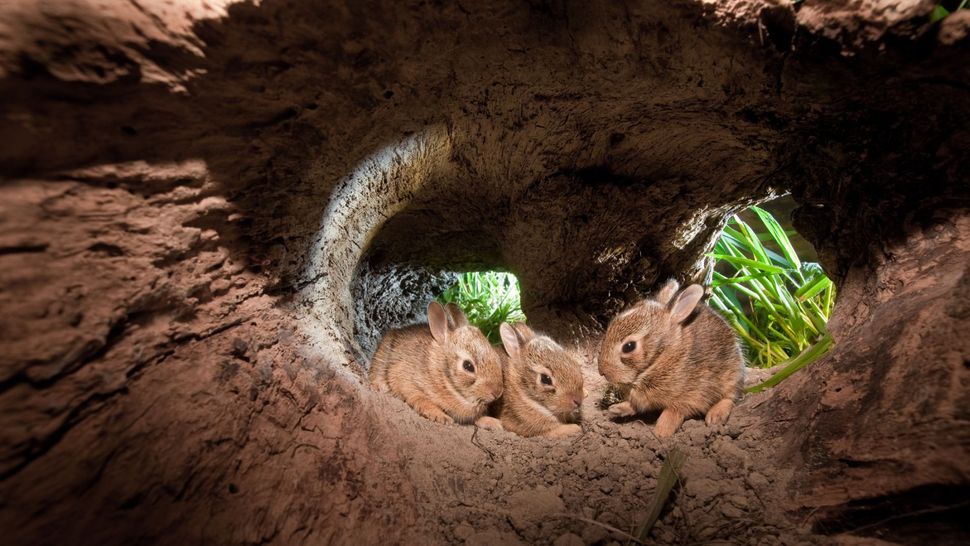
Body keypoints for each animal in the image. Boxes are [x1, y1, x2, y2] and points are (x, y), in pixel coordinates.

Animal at [369, 301, 505, 429]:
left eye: (496, 356)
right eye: (468, 366)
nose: (497, 392)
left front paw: (494, 423)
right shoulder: (408, 382)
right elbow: (422, 400)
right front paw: (440, 417)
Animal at [597, 279, 744, 438]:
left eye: (629, 346)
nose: (602, 371)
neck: (661, 356)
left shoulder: (688, 397)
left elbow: (672, 413)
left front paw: (661, 432)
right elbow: (634, 406)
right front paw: (616, 409)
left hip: (732, 373)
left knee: (730, 397)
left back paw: (715, 417)